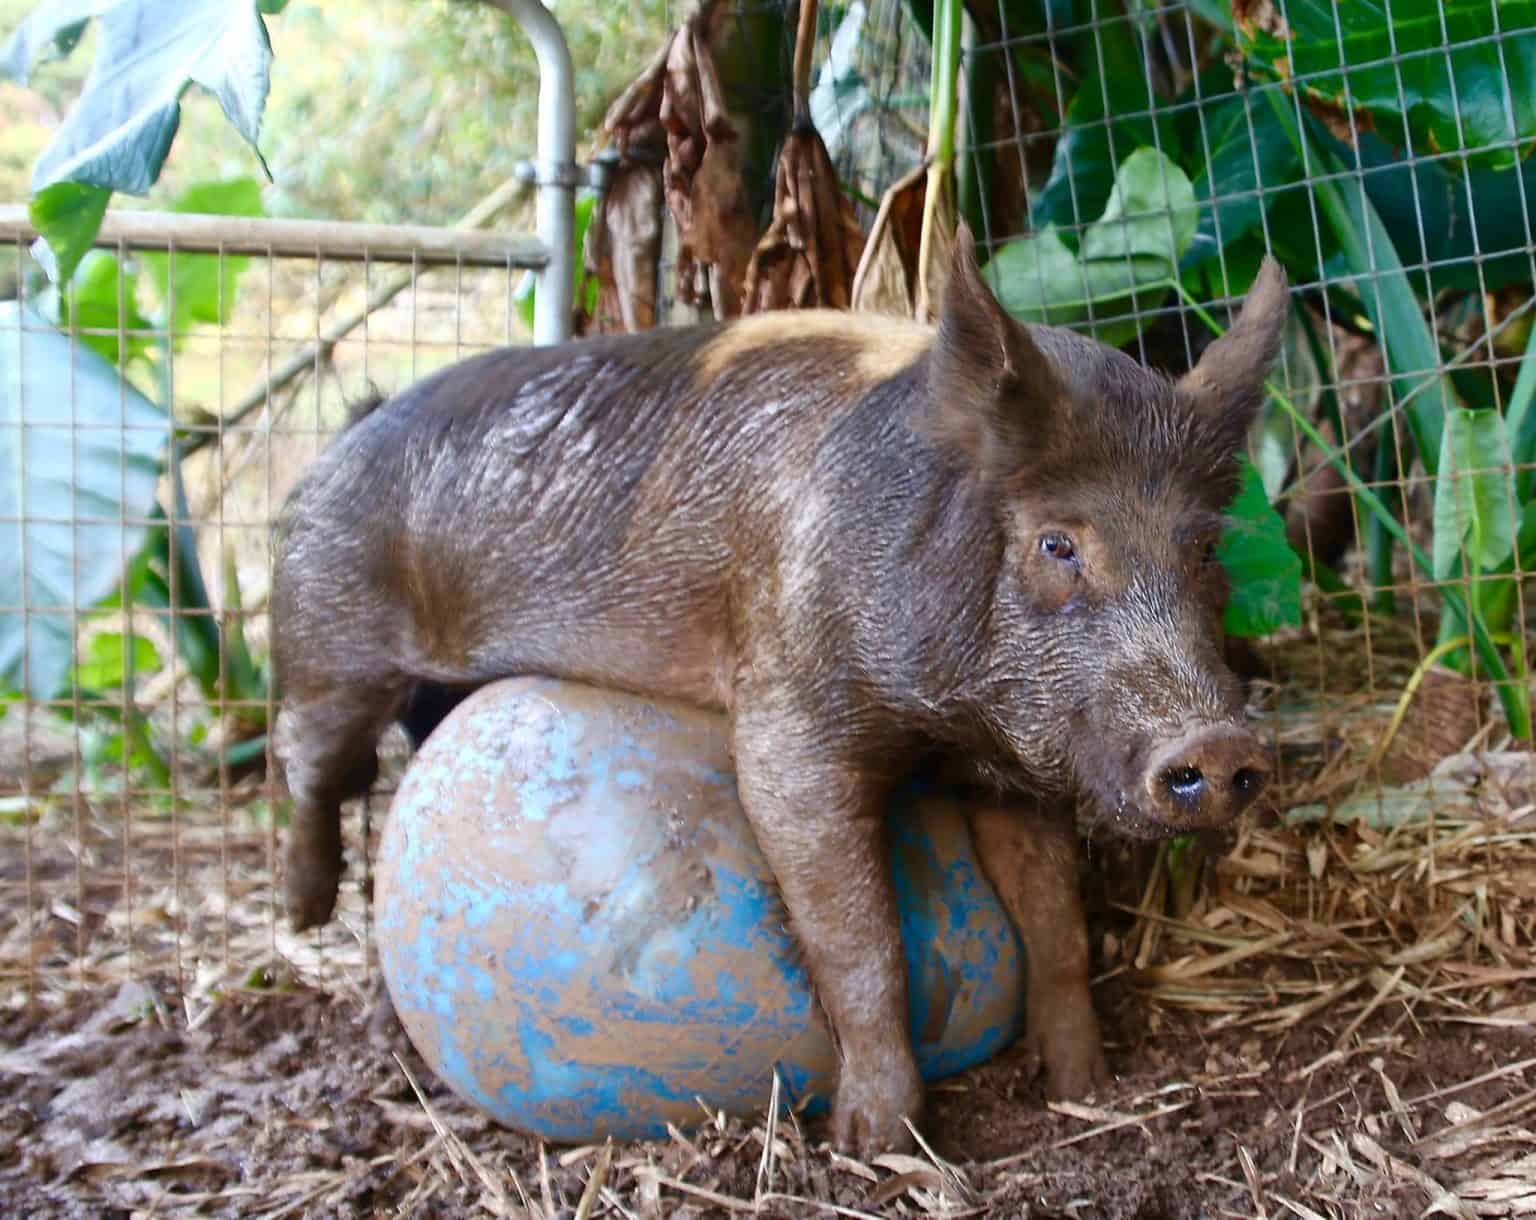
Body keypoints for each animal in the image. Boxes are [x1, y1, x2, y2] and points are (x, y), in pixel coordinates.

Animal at [272, 227, 1285, 1155]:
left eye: (1204, 547)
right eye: (1058, 544)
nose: (1218, 746)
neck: (952, 720)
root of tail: (351, 428)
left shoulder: (1011, 769)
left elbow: (1058, 928)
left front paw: (1085, 1086)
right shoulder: (789, 717)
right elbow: (863, 944)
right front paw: (873, 1143)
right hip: (327, 631)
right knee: (314, 762)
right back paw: (301, 911)